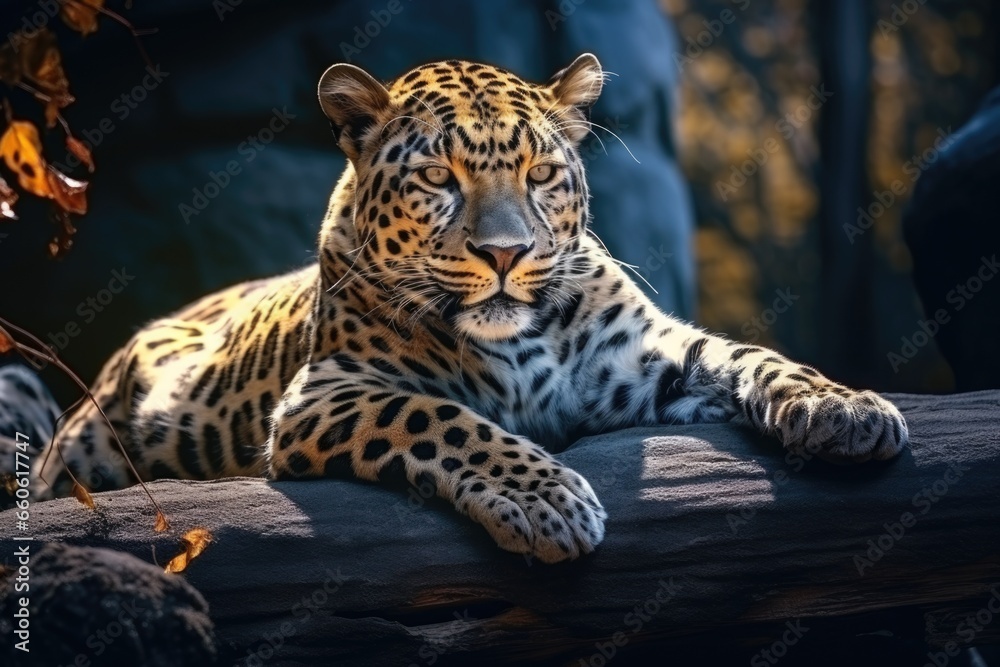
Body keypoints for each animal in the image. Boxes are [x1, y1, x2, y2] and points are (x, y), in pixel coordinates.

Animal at [26, 54, 908, 563]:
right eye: (438, 178)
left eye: (542, 174)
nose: (506, 254)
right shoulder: (326, 394)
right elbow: (443, 418)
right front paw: (545, 500)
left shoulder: (647, 360)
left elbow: (753, 356)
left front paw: (845, 407)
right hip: (86, 449)